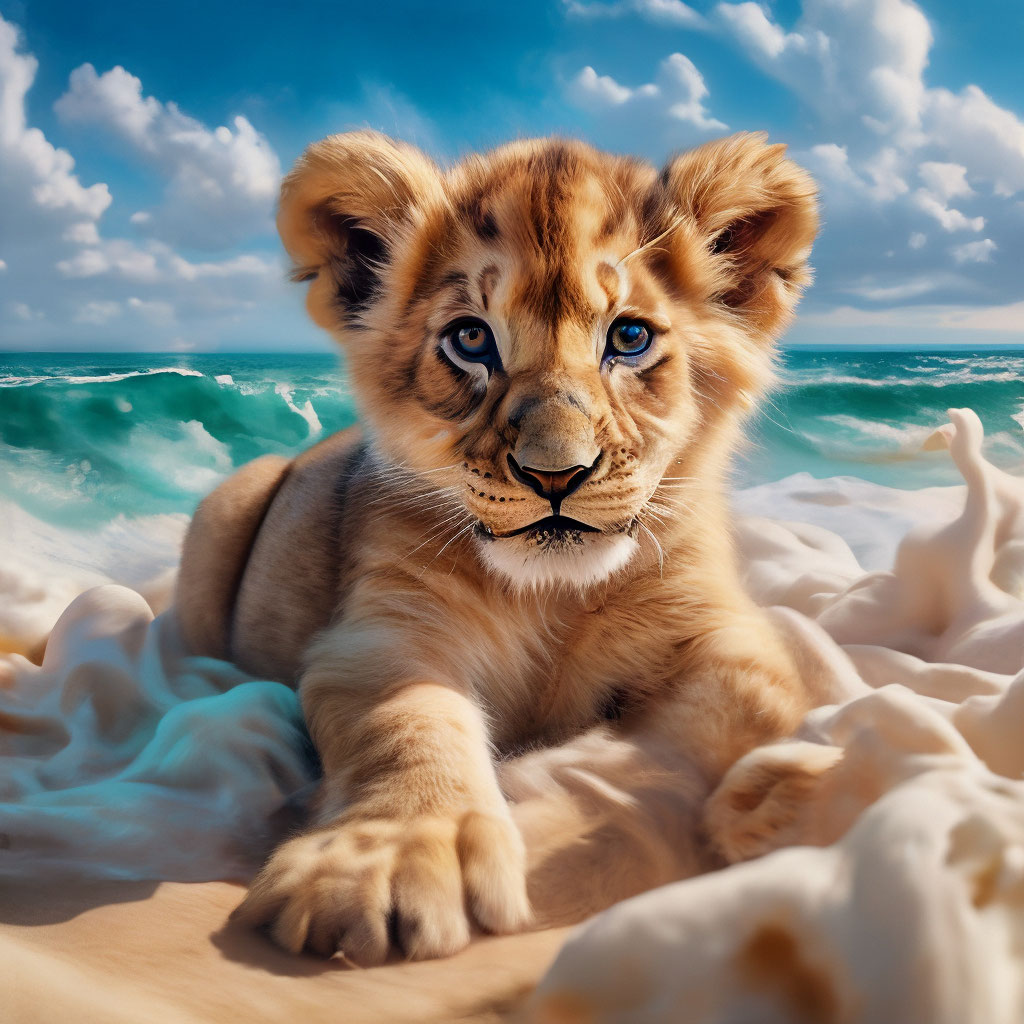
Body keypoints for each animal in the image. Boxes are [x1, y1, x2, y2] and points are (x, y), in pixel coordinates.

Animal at [175, 129, 820, 963]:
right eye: (472, 339)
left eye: (629, 338)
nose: (556, 475)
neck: (551, 594)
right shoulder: (382, 632)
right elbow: (406, 721)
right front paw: (389, 864)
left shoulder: (728, 634)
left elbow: (722, 719)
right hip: (228, 504)